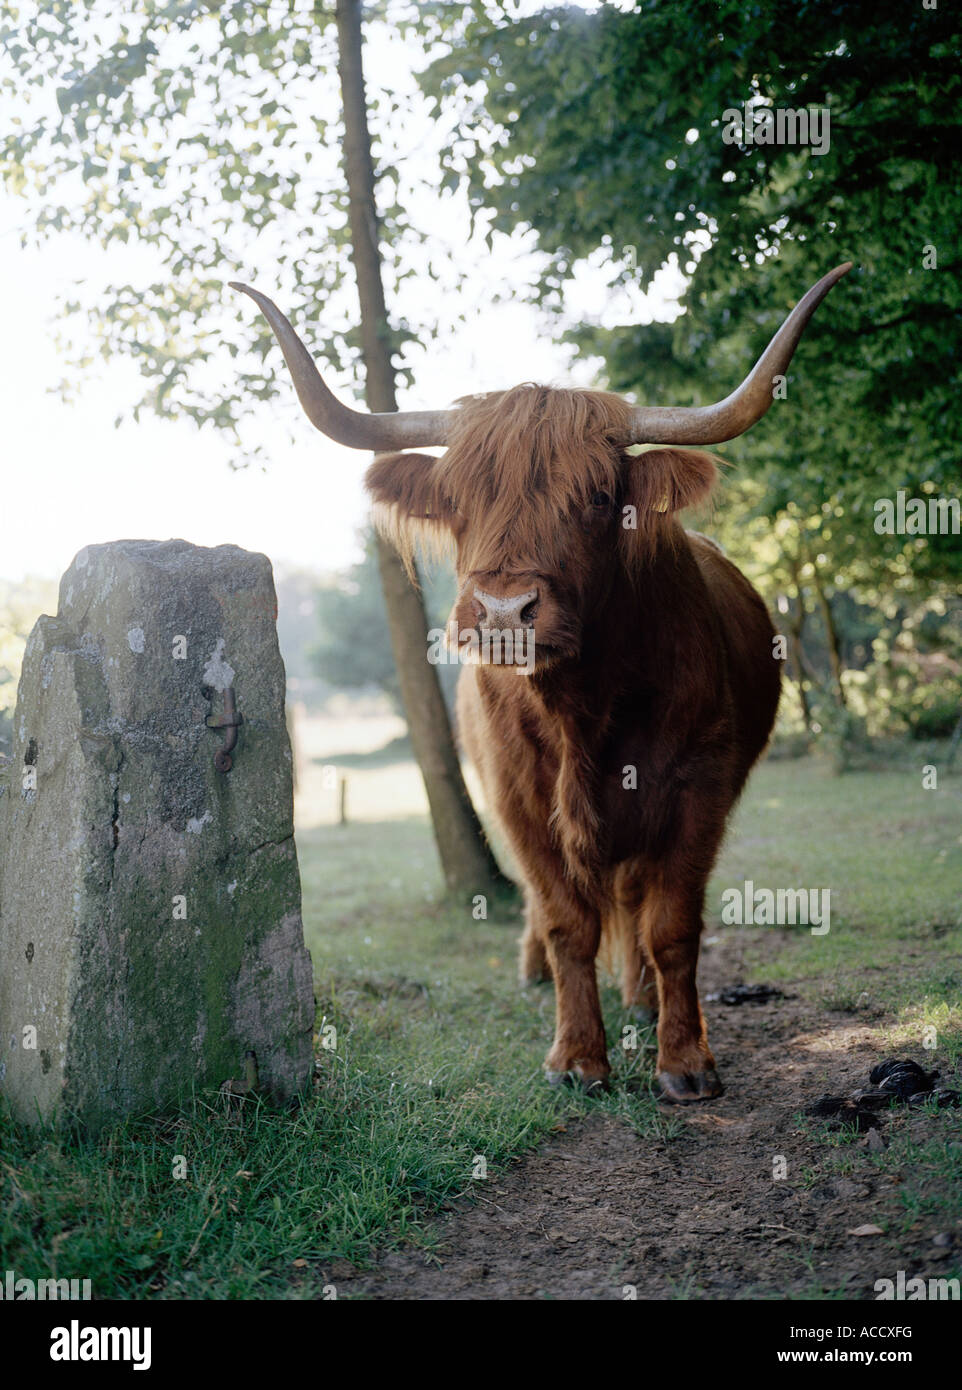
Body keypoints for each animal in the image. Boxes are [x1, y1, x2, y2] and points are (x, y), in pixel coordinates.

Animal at [233, 263, 850, 1102]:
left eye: (597, 497)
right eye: (457, 502)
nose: (503, 611)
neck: (582, 707)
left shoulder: (700, 788)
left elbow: (671, 924)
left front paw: (686, 1060)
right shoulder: (519, 796)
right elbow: (565, 921)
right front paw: (577, 1057)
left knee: (635, 900)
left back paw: (643, 999)